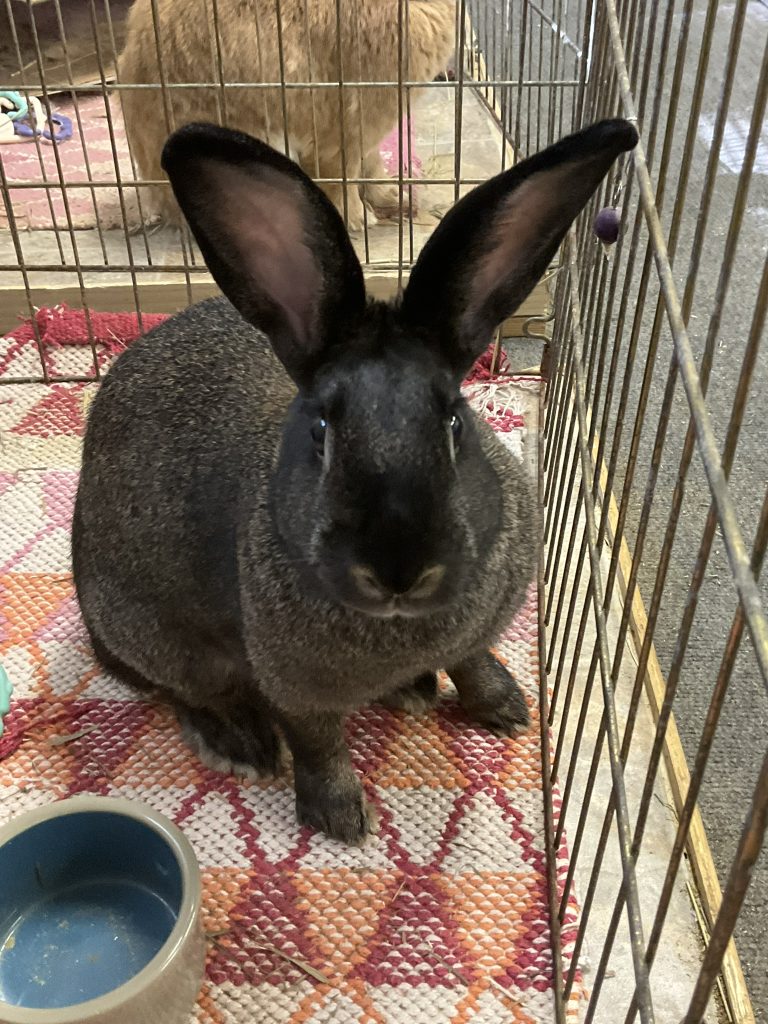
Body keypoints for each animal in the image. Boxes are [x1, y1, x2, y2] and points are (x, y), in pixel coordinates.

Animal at [72, 118, 638, 844]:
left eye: (454, 421)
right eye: (321, 429)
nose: (399, 570)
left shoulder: (480, 629)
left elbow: (473, 660)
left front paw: (507, 708)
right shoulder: (294, 686)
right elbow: (318, 745)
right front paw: (342, 818)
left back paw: (410, 689)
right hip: (154, 629)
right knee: (185, 689)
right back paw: (240, 742)